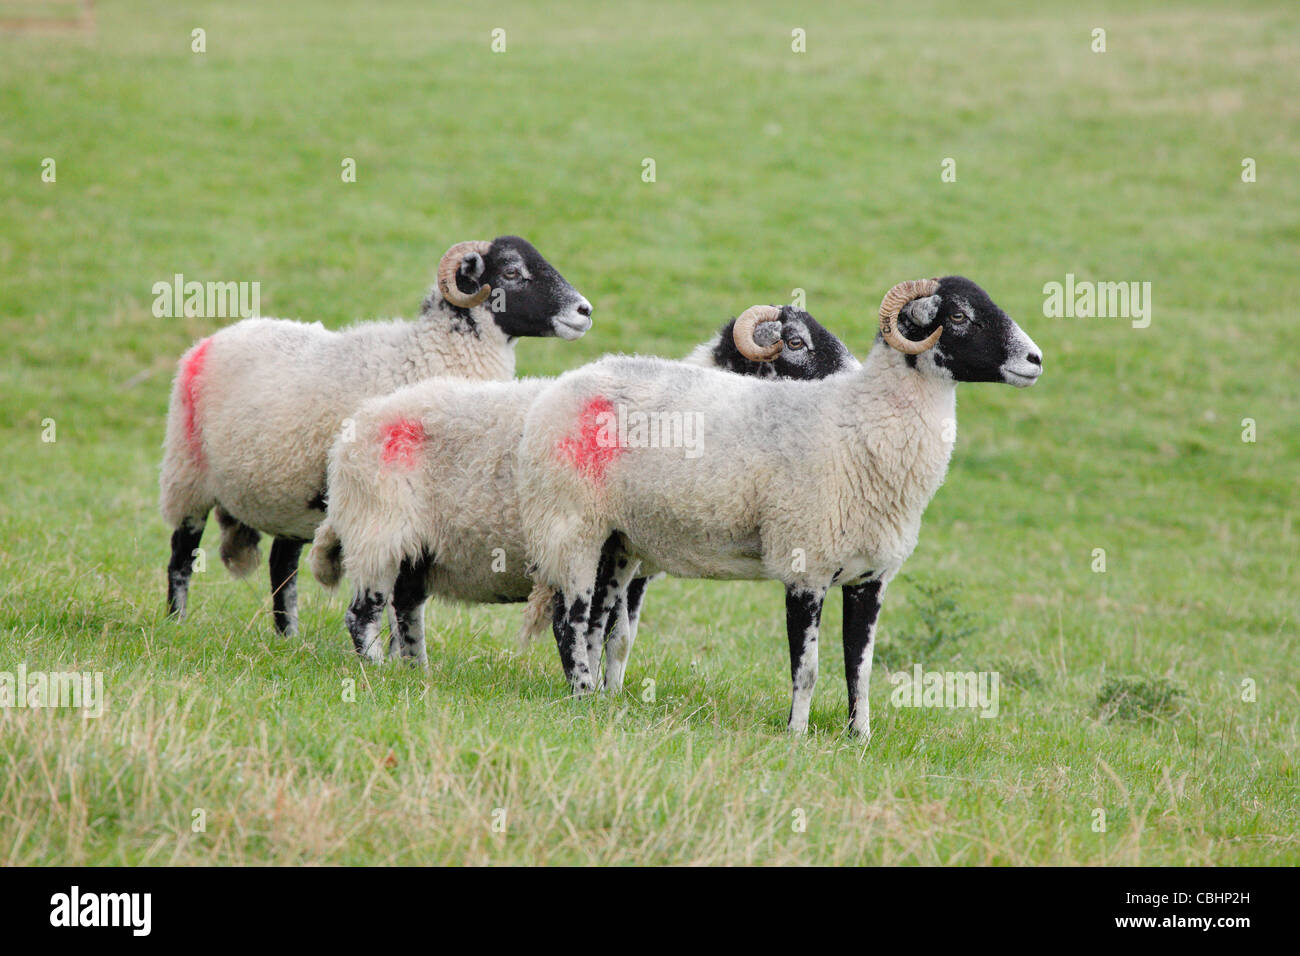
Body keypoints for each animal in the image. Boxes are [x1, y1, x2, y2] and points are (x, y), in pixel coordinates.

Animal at [160, 236, 592, 636]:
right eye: (512, 272)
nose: (584, 311)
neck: (425, 355)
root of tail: (216, 337)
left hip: (292, 495)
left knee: (282, 566)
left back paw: (288, 637)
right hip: (188, 474)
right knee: (181, 556)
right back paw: (176, 621)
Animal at [307, 306, 858, 666]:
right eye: (795, 342)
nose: (856, 382)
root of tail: (353, 430)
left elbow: (614, 633)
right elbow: (612, 634)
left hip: (416, 546)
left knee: (405, 608)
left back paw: (414, 674)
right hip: (380, 529)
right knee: (365, 614)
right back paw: (379, 672)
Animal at [515, 277, 1044, 736]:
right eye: (958, 315)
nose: (1035, 359)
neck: (858, 420)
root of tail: (569, 381)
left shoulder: (871, 576)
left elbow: (860, 667)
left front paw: (859, 738)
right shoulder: (805, 565)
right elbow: (806, 668)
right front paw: (796, 735)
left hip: (618, 539)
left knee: (595, 623)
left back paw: (599, 700)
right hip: (572, 522)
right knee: (570, 619)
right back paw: (583, 698)